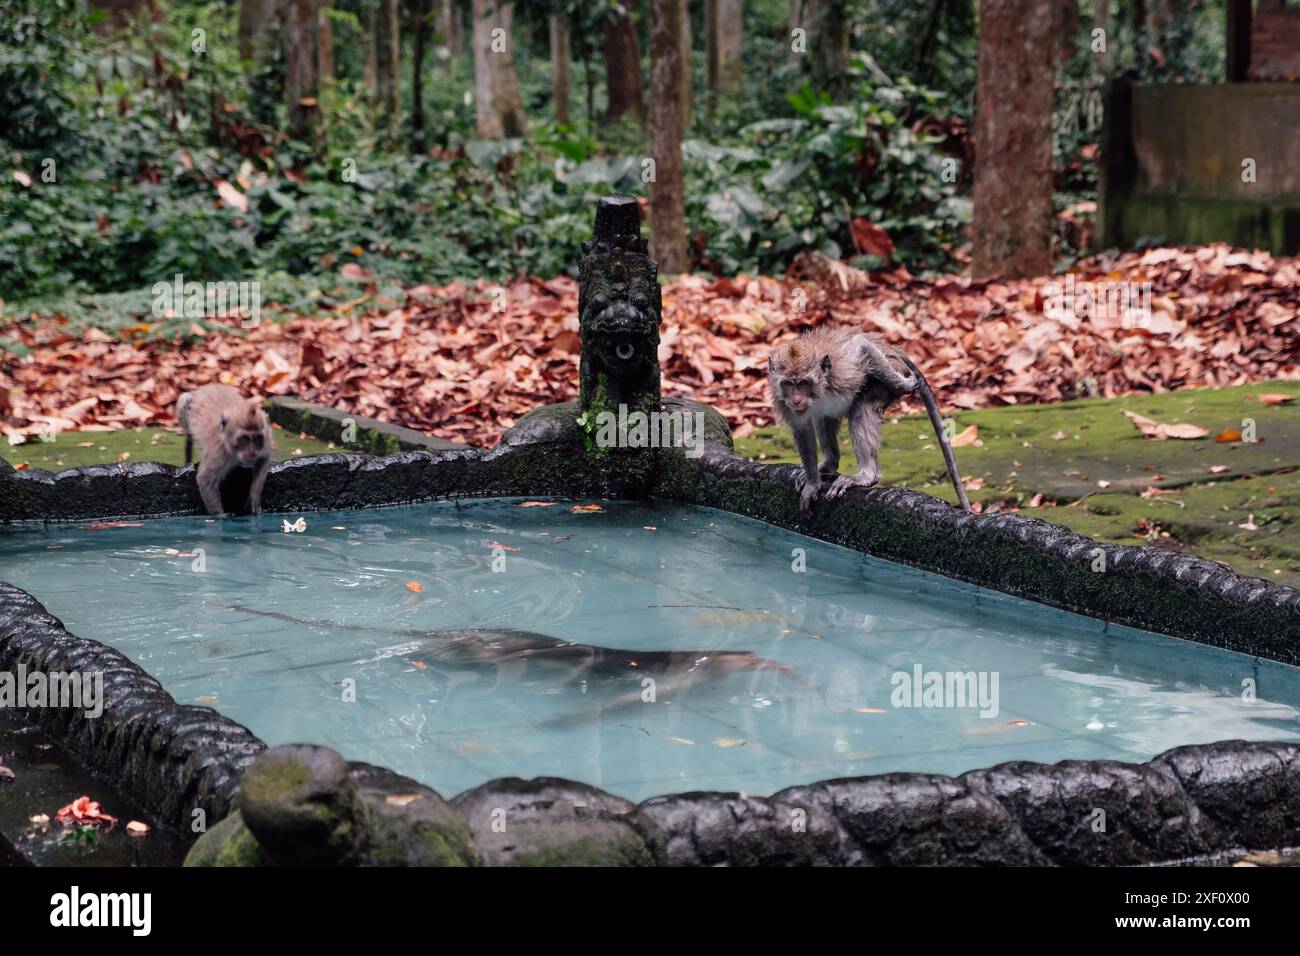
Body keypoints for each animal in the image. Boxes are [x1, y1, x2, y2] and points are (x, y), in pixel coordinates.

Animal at [176, 385, 272, 516]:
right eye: (245, 439)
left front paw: (254, 496)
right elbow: (205, 480)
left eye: (258, 438)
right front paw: (222, 516)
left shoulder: (266, 441)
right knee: (185, 403)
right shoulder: (218, 452)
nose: (252, 452)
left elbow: (263, 459)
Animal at [768, 326, 971, 513]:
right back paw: (829, 464)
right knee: (824, 416)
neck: (820, 389)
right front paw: (812, 483)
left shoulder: (845, 372)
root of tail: (890, 348)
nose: (796, 400)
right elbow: (802, 430)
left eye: (803, 383)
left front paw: (904, 385)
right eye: (788, 384)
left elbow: (861, 347)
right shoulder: (783, 400)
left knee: (862, 408)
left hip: (885, 378)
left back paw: (867, 476)